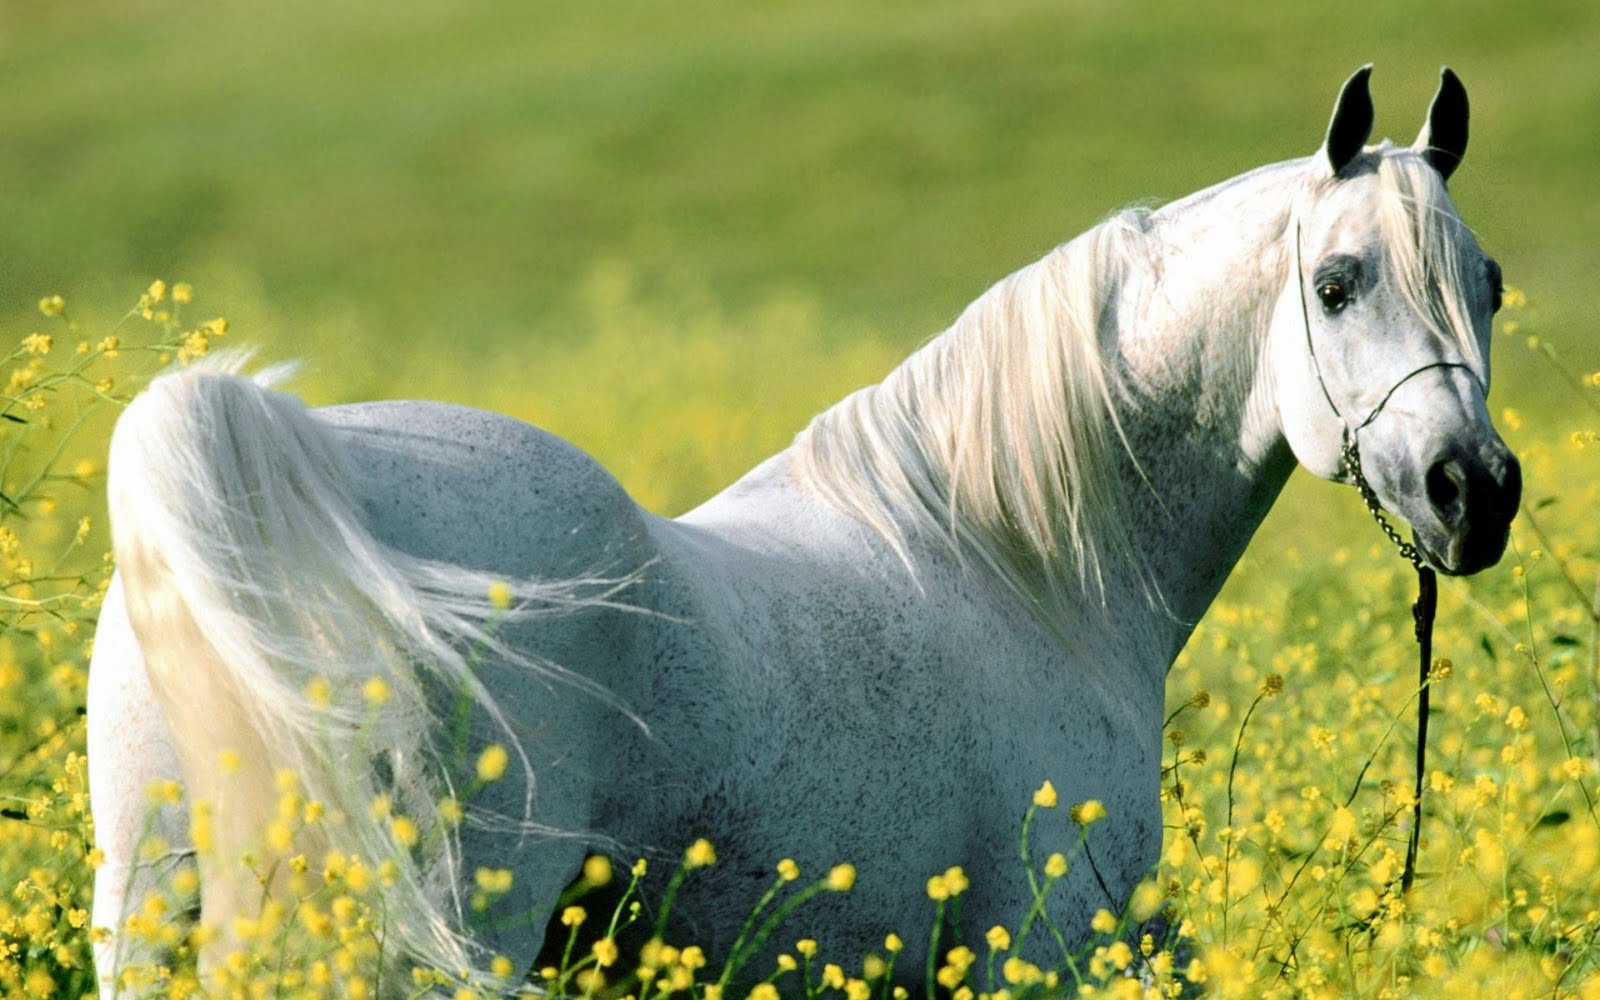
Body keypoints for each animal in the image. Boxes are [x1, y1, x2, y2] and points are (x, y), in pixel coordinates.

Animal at [87, 65, 1519, 995]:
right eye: (1335, 284)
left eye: (1490, 285)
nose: (1476, 490)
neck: (1019, 568)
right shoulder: (1034, 957)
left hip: (152, 917)